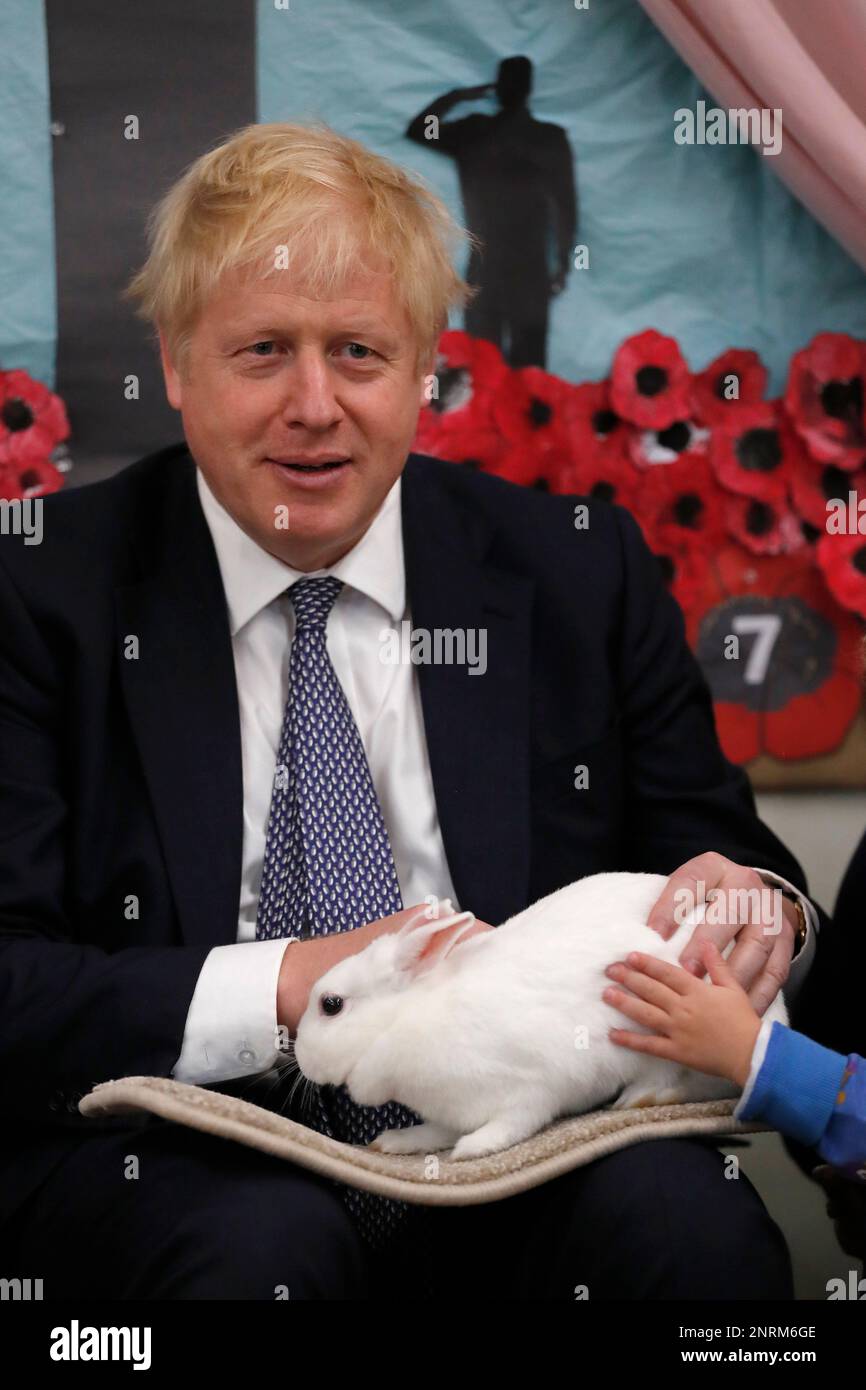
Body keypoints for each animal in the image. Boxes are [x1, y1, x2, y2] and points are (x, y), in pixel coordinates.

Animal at [292, 871, 790, 1161]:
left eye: (330, 1005)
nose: (298, 1057)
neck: (402, 1021)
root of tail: (775, 1013)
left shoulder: (529, 1087)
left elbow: (514, 1123)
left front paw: (471, 1150)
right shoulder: (448, 1111)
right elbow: (434, 1131)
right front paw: (395, 1143)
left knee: (678, 1081)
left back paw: (639, 1099)